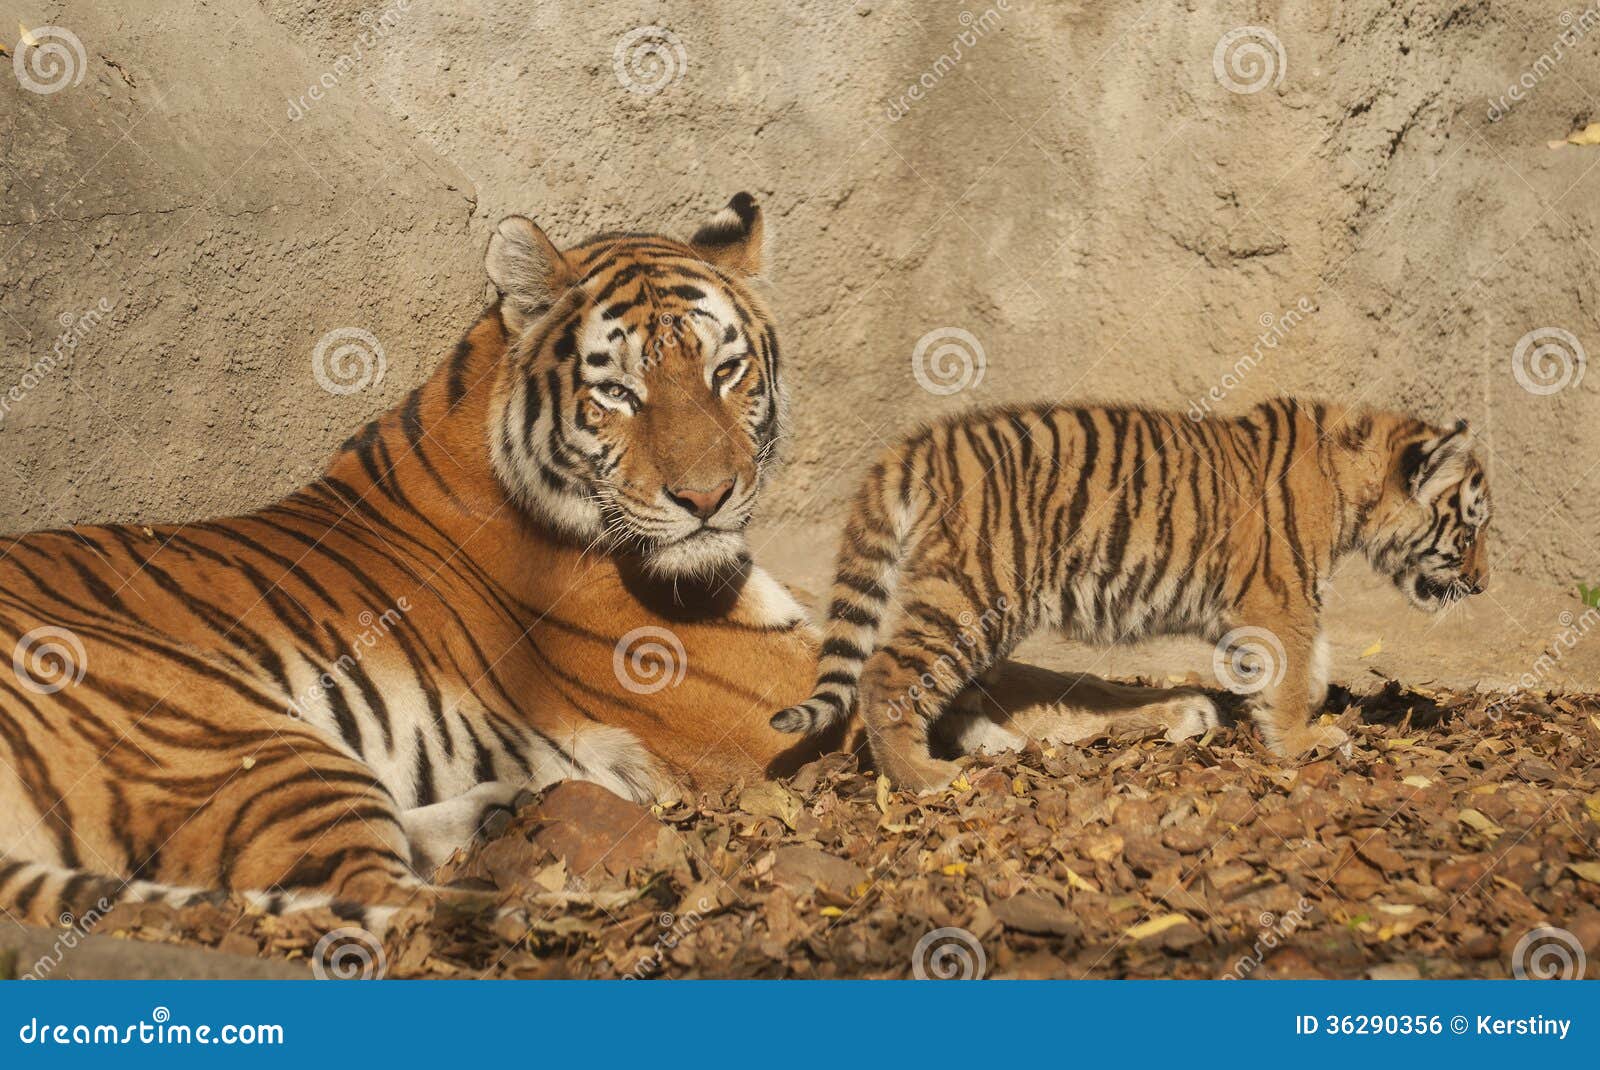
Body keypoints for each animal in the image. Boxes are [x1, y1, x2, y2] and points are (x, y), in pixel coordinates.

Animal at [770, 397, 1492, 792]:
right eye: (1473, 526)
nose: (1484, 584)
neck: (1353, 492)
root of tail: (920, 444)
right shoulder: (1278, 599)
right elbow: (1291, 676)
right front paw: (1303, 741)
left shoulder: (1260, 609)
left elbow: (1303, 667)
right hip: (971, 591)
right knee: (886, 674)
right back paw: (921, 777)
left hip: (986, 608)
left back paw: (994, 743)